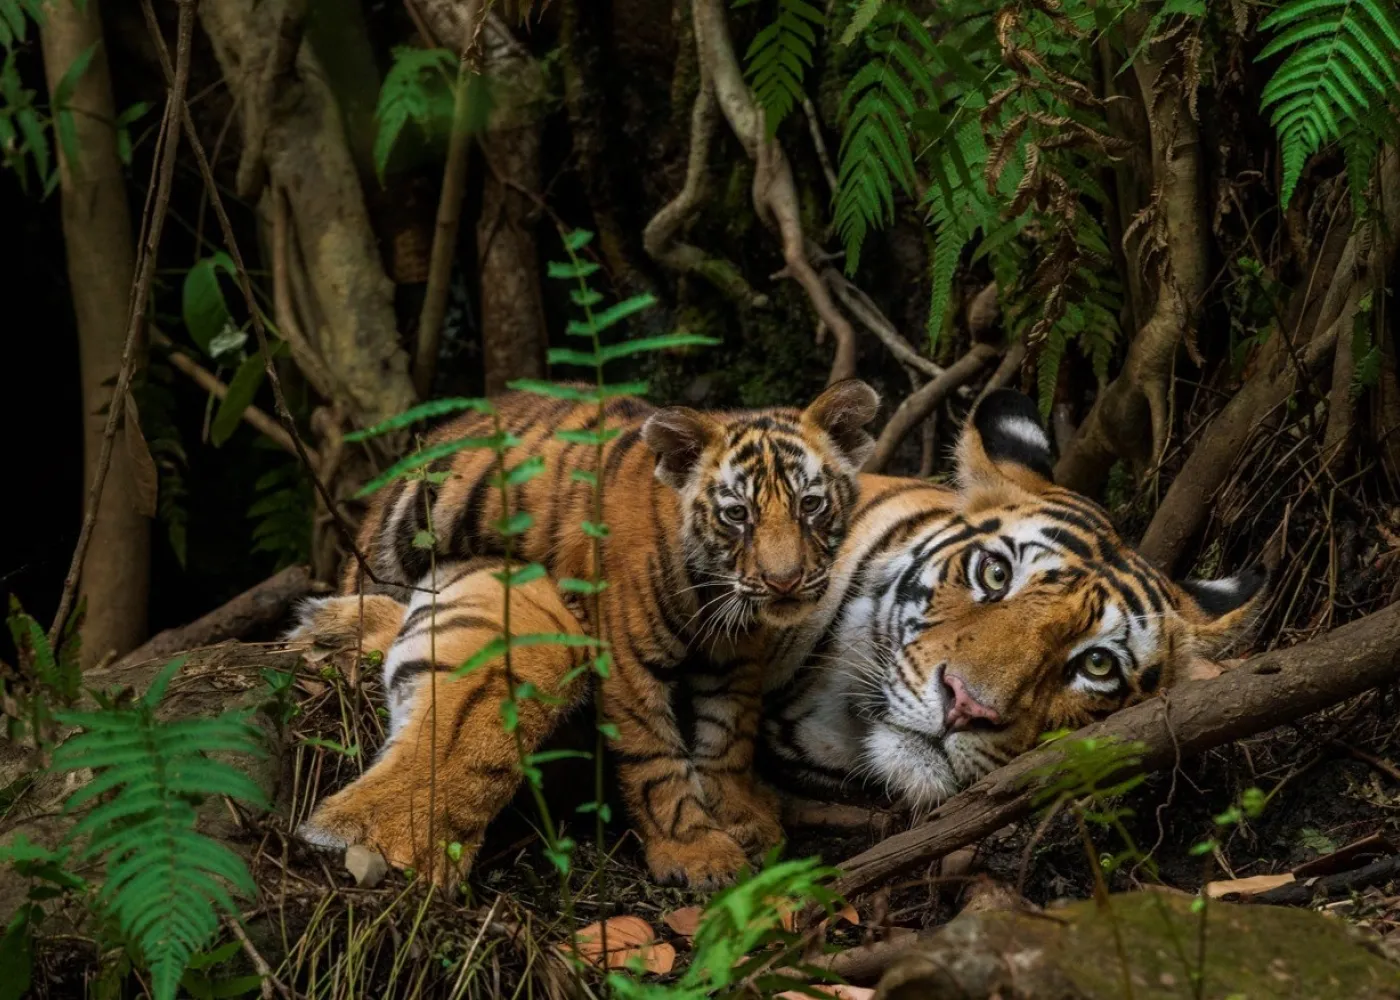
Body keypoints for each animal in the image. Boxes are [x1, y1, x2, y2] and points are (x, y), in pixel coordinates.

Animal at [300, 380, 881, 886]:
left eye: (810, 504)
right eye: (737, 514)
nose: (784, 581)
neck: (717, 596)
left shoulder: (735, 660)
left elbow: (728, 737)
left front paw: (743, 817)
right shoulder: (627, 659)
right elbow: (655, 759)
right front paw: (696, 852)